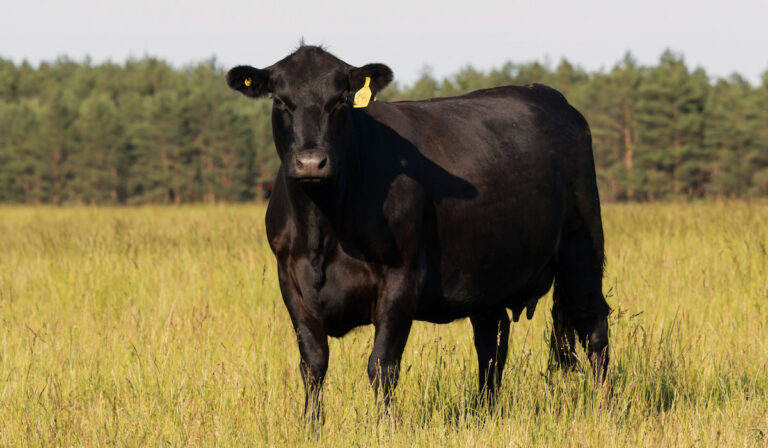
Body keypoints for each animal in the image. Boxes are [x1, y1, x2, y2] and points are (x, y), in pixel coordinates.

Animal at [226, 46, 610, 418]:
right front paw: (311, 426)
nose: (310, 163)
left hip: (581, 244)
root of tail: (546, 94)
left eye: (340, 100)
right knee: (491, 340)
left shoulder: (402, 276)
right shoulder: (291, 280)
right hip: (489, 272)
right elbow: (313, 364)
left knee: (593, 324)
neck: (322, 231)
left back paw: (603, 409)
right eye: (280, 100)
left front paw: (383, 427)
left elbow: (382, 365)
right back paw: (483, 412)